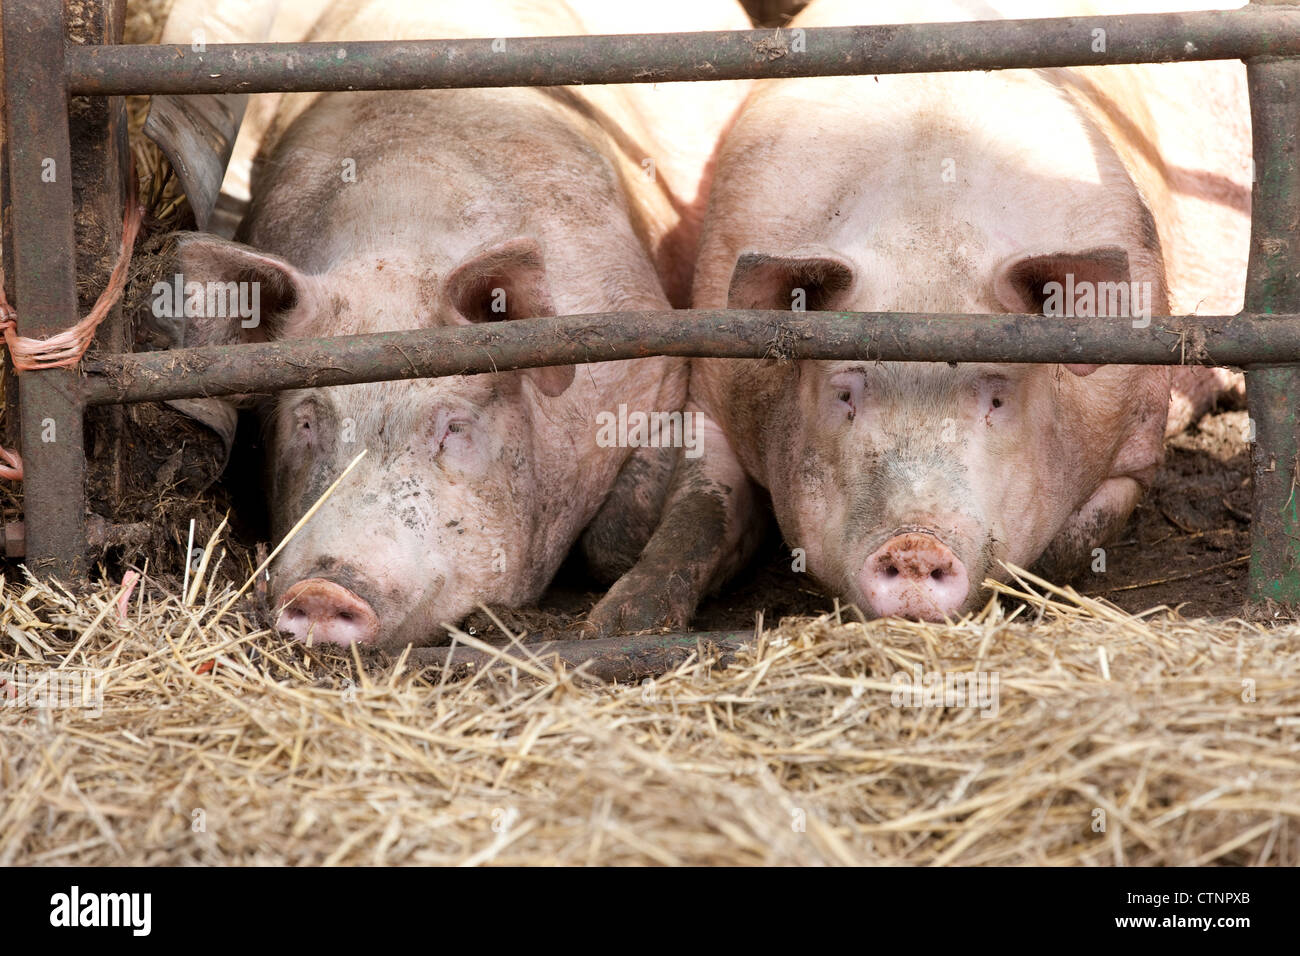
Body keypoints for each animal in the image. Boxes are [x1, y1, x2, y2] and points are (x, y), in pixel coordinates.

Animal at [170, 0, 750, 648]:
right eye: (307, 421)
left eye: (454, 425)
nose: (324, 591)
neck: (396, 242)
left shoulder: (654, 367)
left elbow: (616, 535)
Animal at [588, 0, 1251, 630]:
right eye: (844, 393)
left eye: (999, 397)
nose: (913, 544)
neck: (928, 225)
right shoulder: (712, 393)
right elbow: (699, 513)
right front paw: (621, 623)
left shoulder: (1136, 443)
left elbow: (1063, 548)